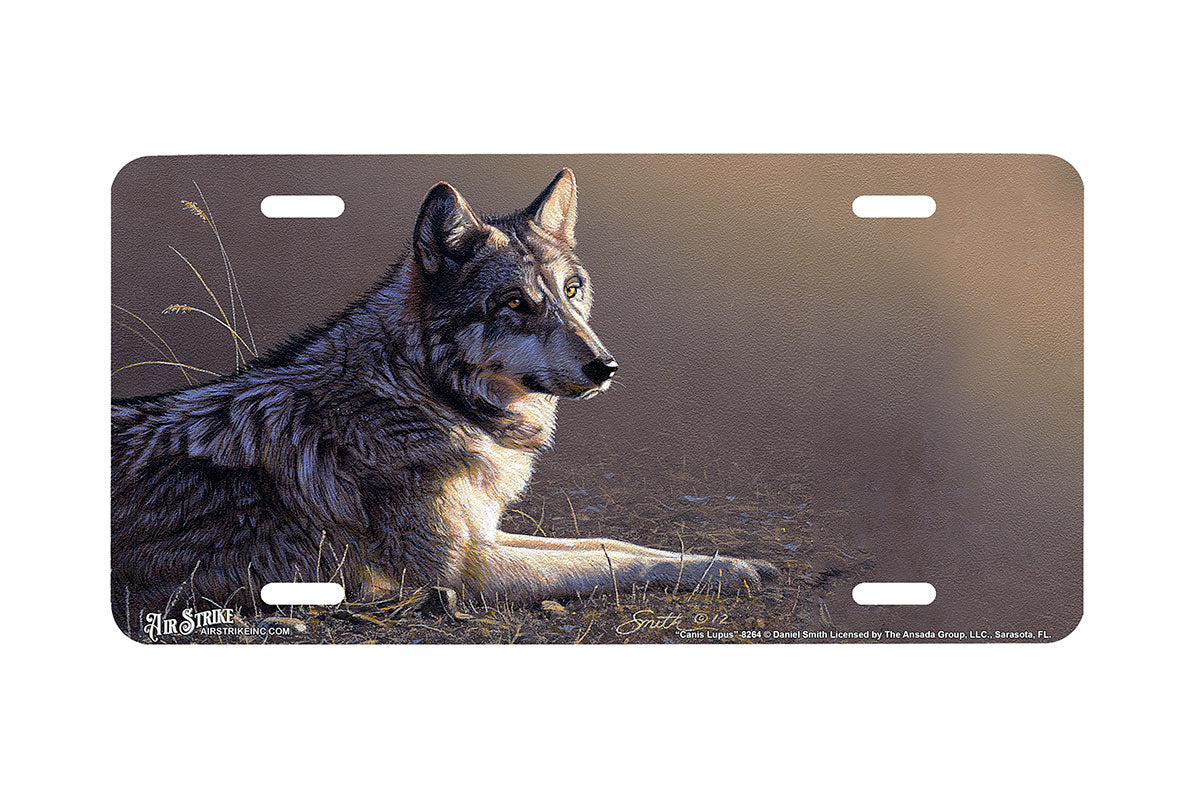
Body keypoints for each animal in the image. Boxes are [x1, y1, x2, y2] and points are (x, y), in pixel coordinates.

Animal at [112, 169, 777, 615]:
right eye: (516, 304)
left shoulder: (484, 533)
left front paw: (733, 563)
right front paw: (730, 571)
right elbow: (611, 560)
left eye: (572, 290)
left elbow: (613, 542)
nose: (605, 367)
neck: (421, 393)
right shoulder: (468, 568)